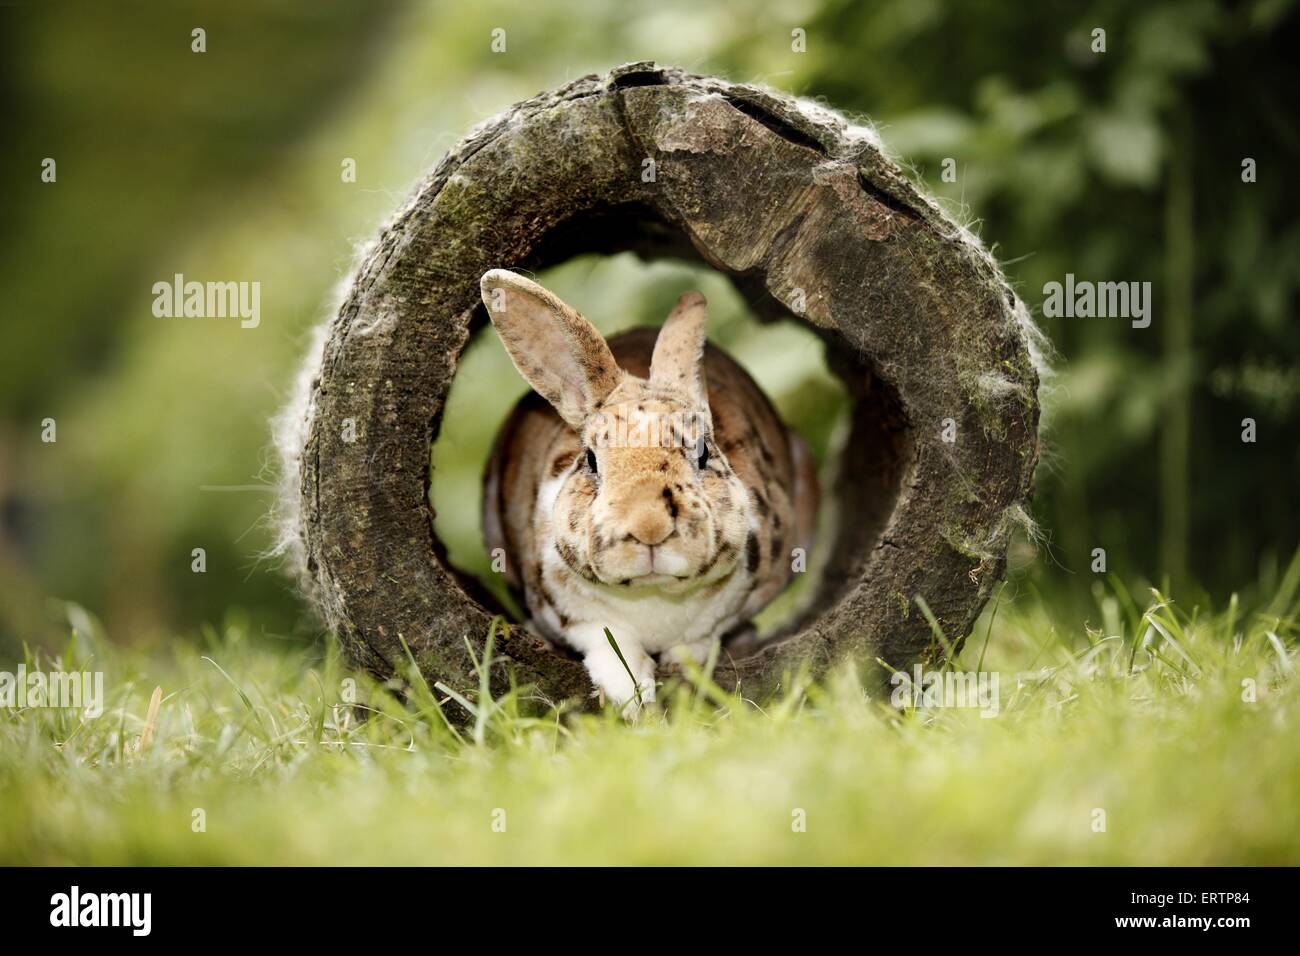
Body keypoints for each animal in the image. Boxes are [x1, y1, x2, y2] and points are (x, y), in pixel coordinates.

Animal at [479, 269, 818, 716]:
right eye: (591, 459)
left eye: (702, 451)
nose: (650, 527)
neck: (653, 592)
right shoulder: (568, 611)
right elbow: (605, 639)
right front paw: (630, 699)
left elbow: (702, 637)